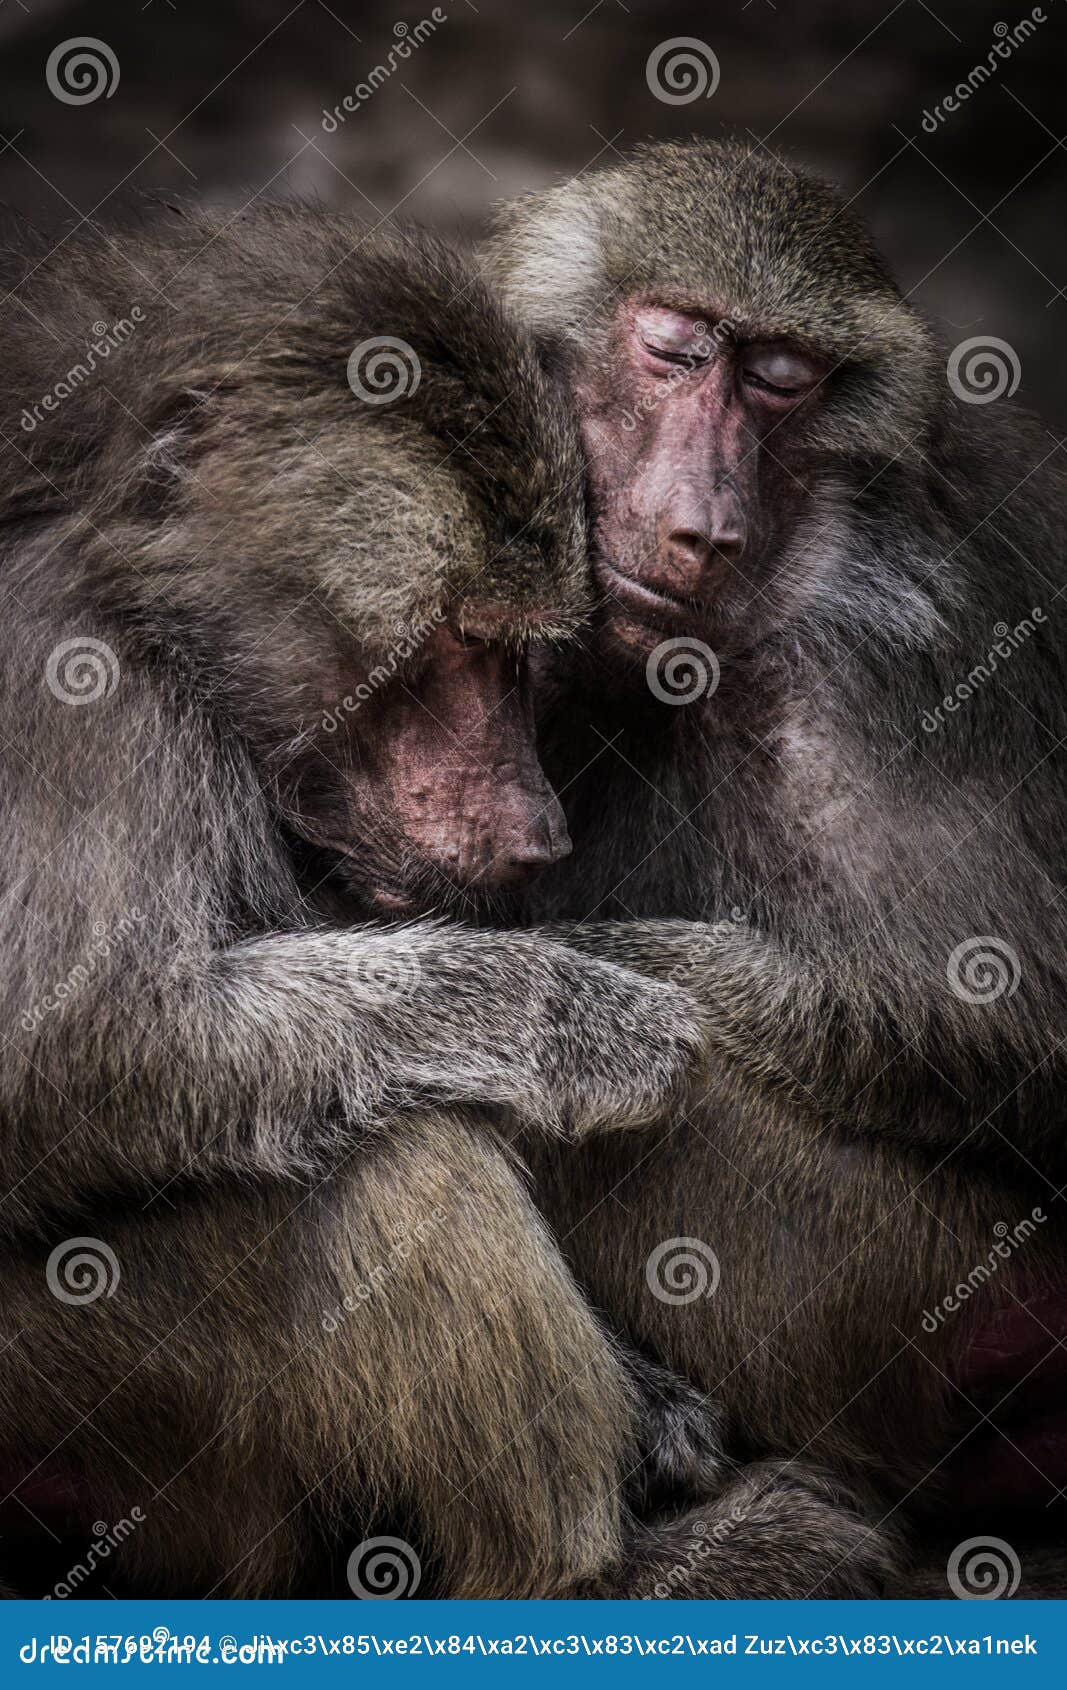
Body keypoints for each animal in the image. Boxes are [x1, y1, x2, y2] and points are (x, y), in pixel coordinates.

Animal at [0, 201, 893, 1599]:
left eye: (518, 654)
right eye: (456, 646)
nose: (537, 833)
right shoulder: (63, 677)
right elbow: (66, 1051)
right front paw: (571, 1020)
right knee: (396, 1166)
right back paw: (601, 1584)